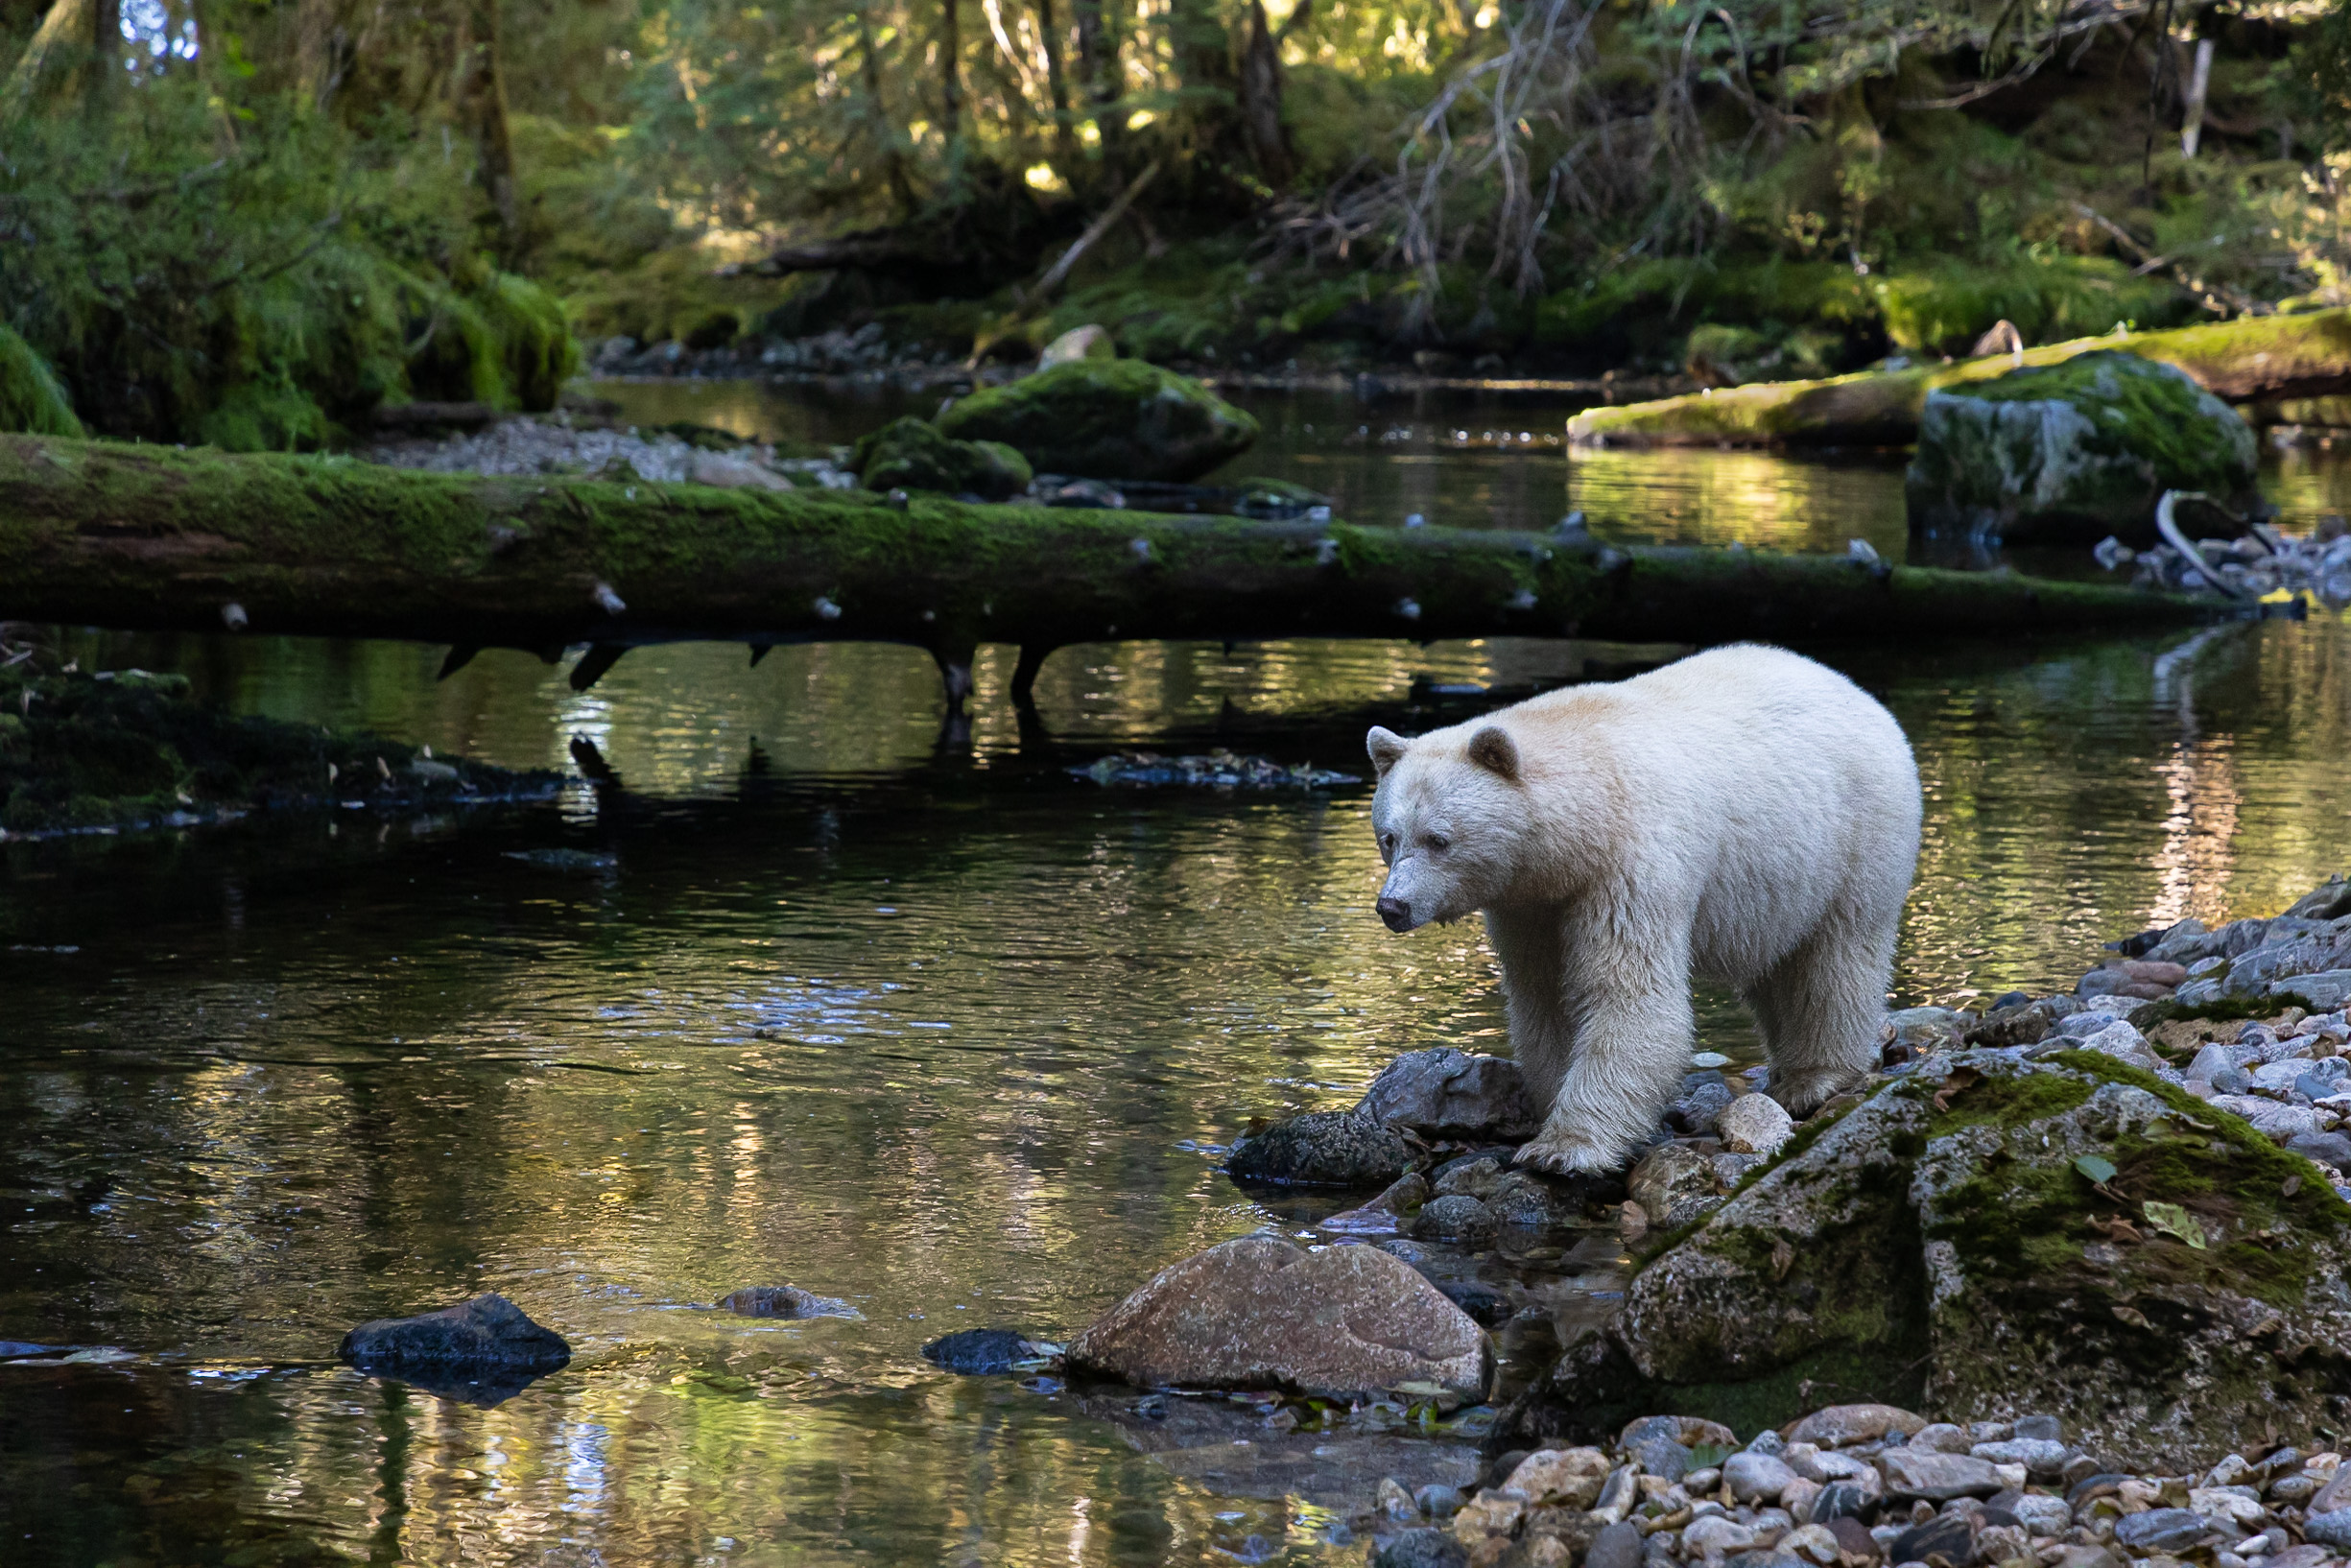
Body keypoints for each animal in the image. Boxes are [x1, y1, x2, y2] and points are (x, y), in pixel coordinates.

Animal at [1365, 643, 1921, 1174]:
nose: (1392, 906)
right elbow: (1546, 995)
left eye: (1439, 839)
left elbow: (1628, 995)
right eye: (1389, 837)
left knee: (1834, 956)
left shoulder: (1630, 866)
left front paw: (1564, 1148)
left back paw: (1814, 1077)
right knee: (1778, 965)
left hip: (1856, 836)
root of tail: (1860, 694)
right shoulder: (1531, 902)